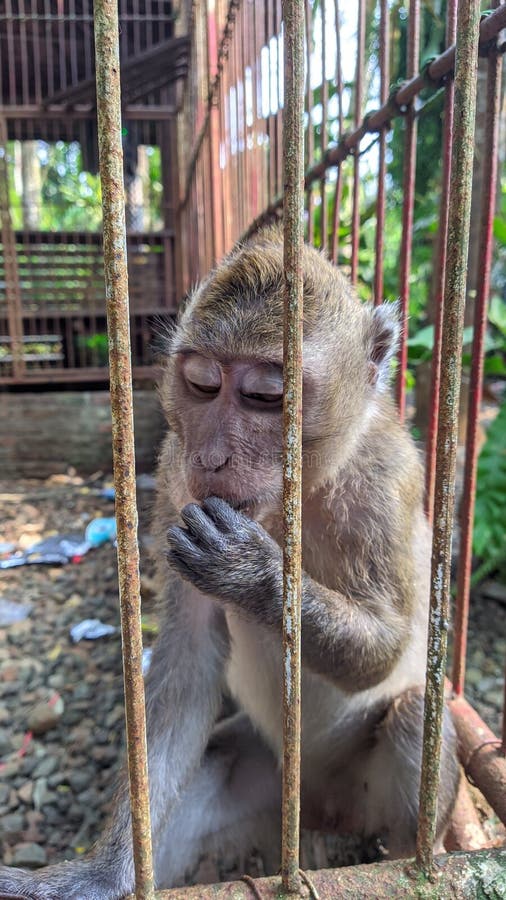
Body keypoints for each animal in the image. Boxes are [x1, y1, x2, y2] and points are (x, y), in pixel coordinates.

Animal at [0, 228, 459, 900]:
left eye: (268, 396)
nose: (212, 458)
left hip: (360, 795)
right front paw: (97, 875)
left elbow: (385, 650)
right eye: (202, 383)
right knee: (218, 762)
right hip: (273, 787)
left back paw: (412, 863)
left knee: (414, 715)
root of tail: (318, 816)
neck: (295, 495)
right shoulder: (173, 477)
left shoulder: (385, 479)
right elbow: (190, 655)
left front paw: (254, 573)